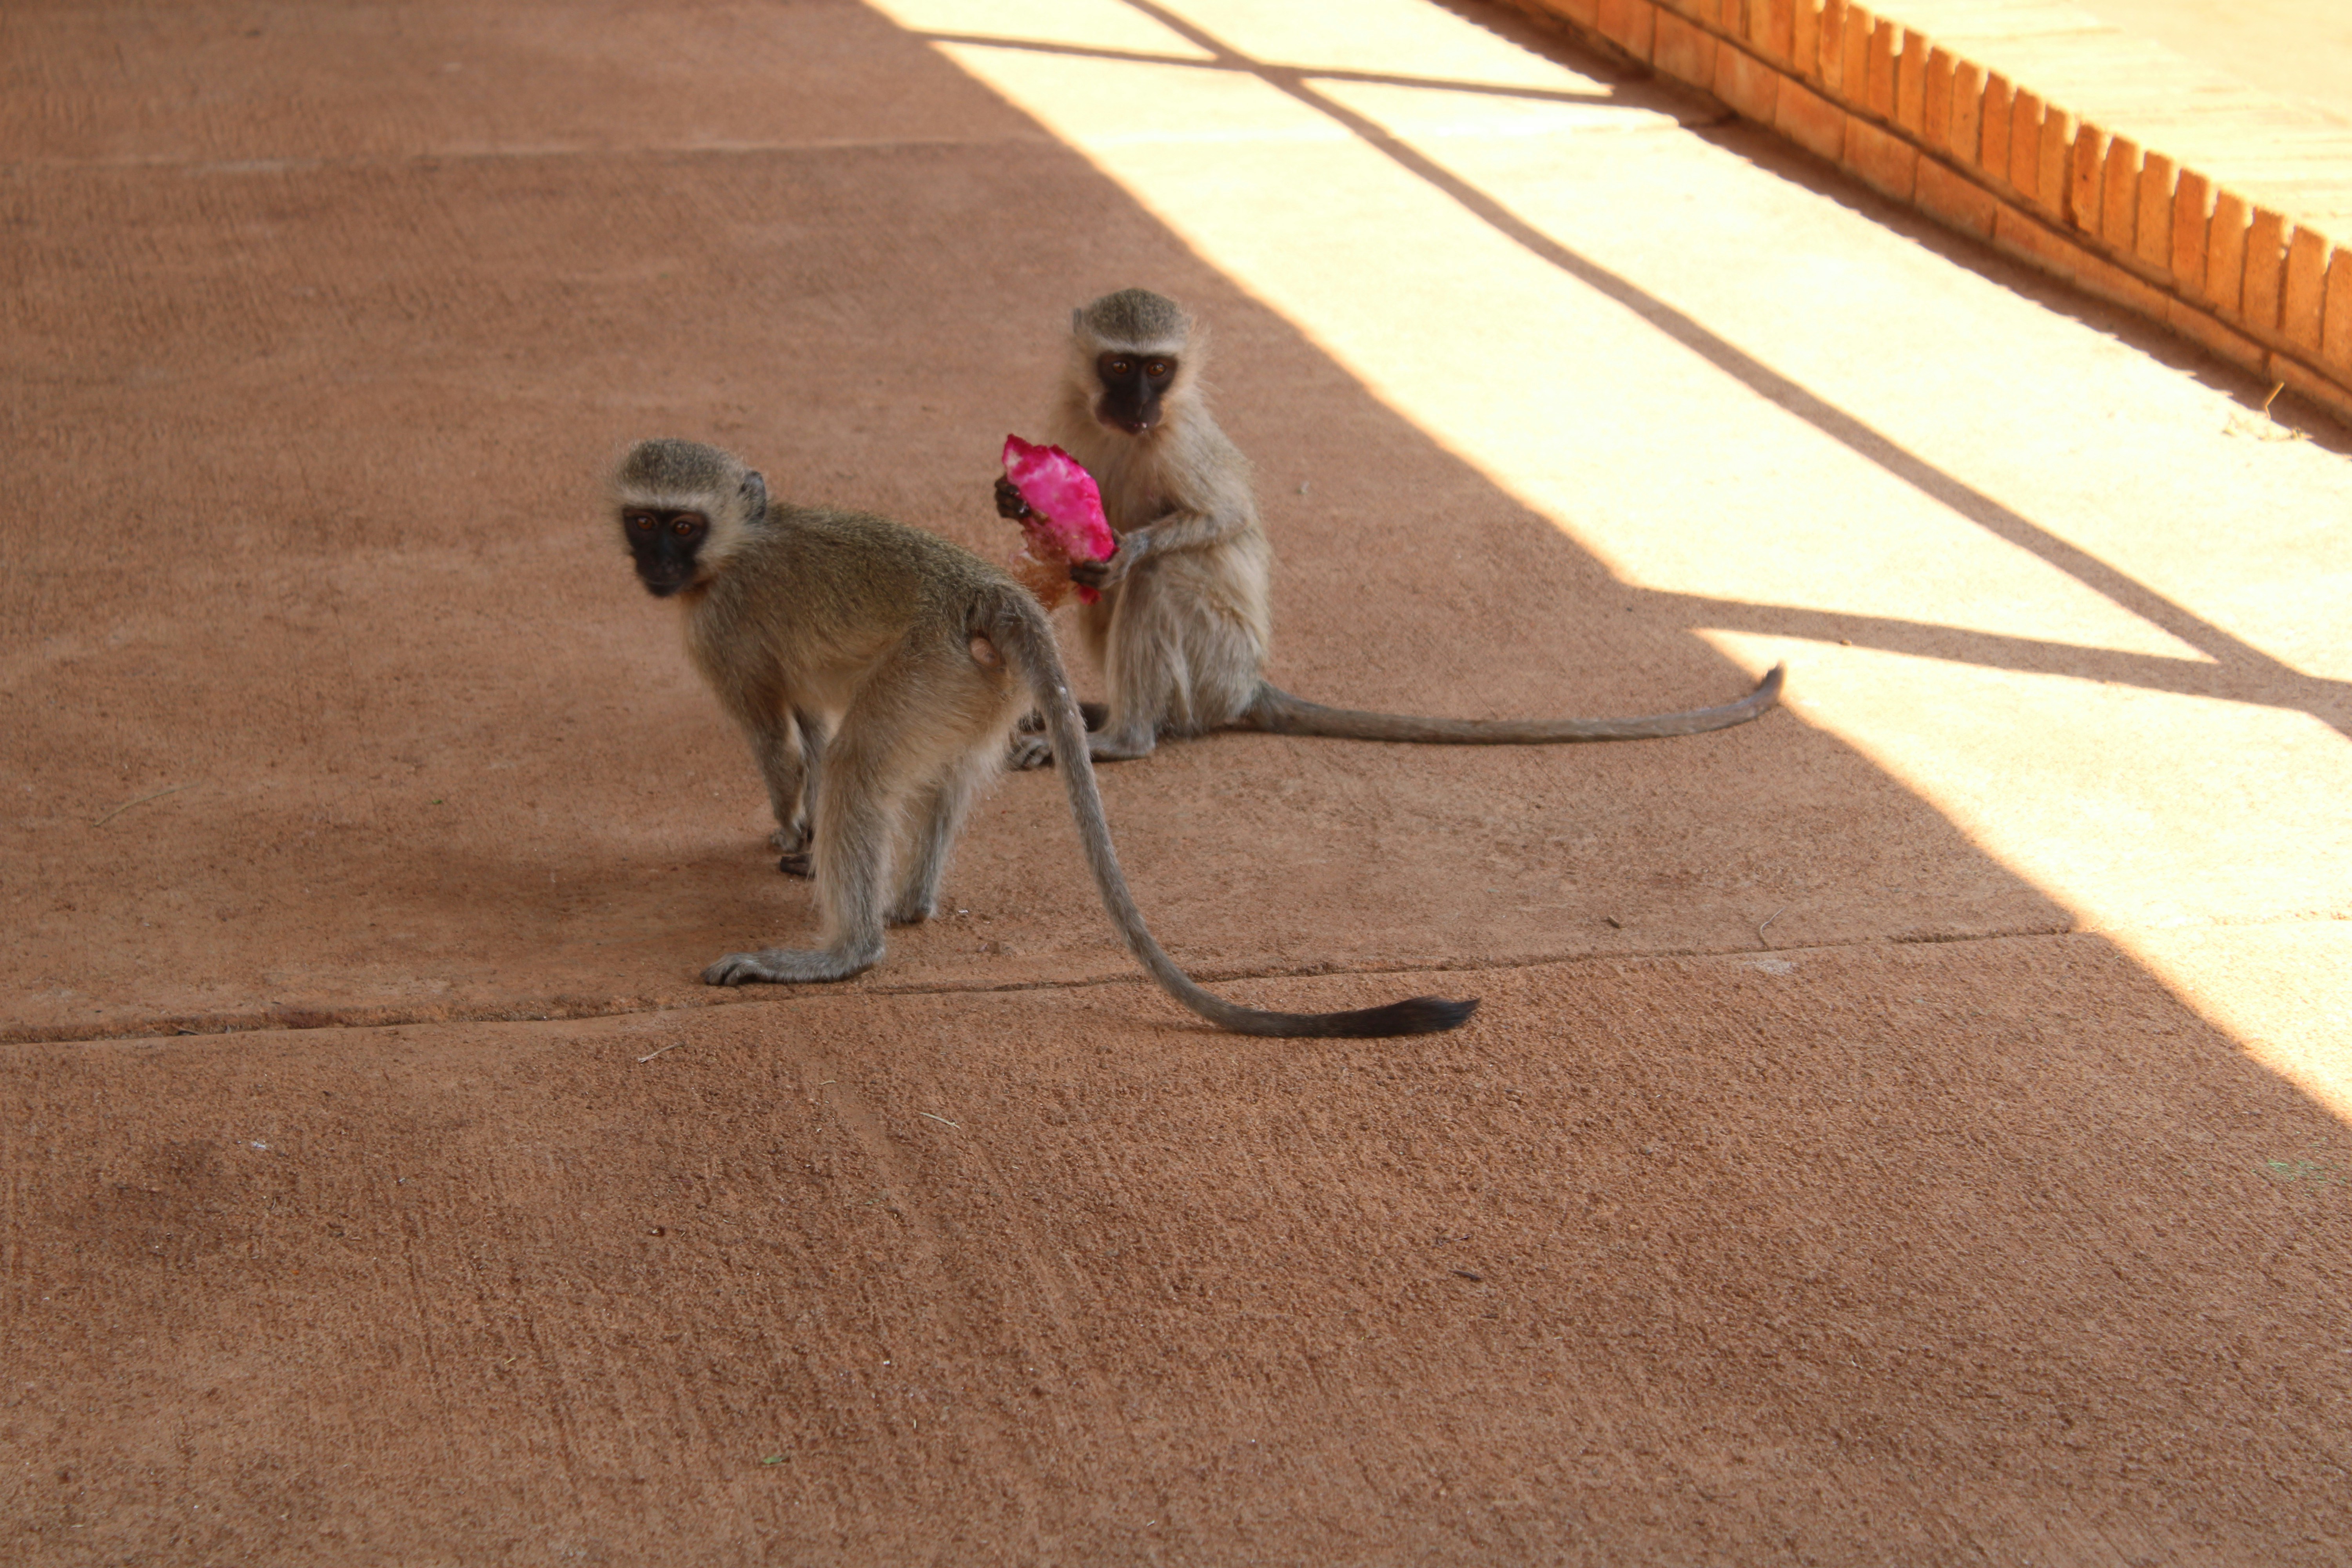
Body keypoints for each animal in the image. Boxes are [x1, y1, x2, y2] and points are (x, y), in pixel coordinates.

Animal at [614, 437, 1476, 1039]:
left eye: (683, 524)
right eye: (643, 521)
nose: (656, 565)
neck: (731, 550)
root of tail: (987, 590)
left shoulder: (720, 631)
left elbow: (780, 746)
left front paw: (793, 829)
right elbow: (813, 731)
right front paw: (802, 838)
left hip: (932, 664)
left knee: (861, 764)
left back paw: (848, 949)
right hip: (975, 685)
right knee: (934, 771)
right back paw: (909, 905)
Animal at [994, 288, 1784, 767]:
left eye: (1158, 370)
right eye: (1119, 366)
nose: (1138, 406)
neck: (1125, 434)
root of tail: (1249, 687)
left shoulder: (1181, 440)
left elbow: (1220, 519)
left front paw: (1129, 546)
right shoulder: (1075, 417)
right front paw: (1014, 497)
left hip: (1215, 665)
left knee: (1154, 580)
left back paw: (1125, 737)